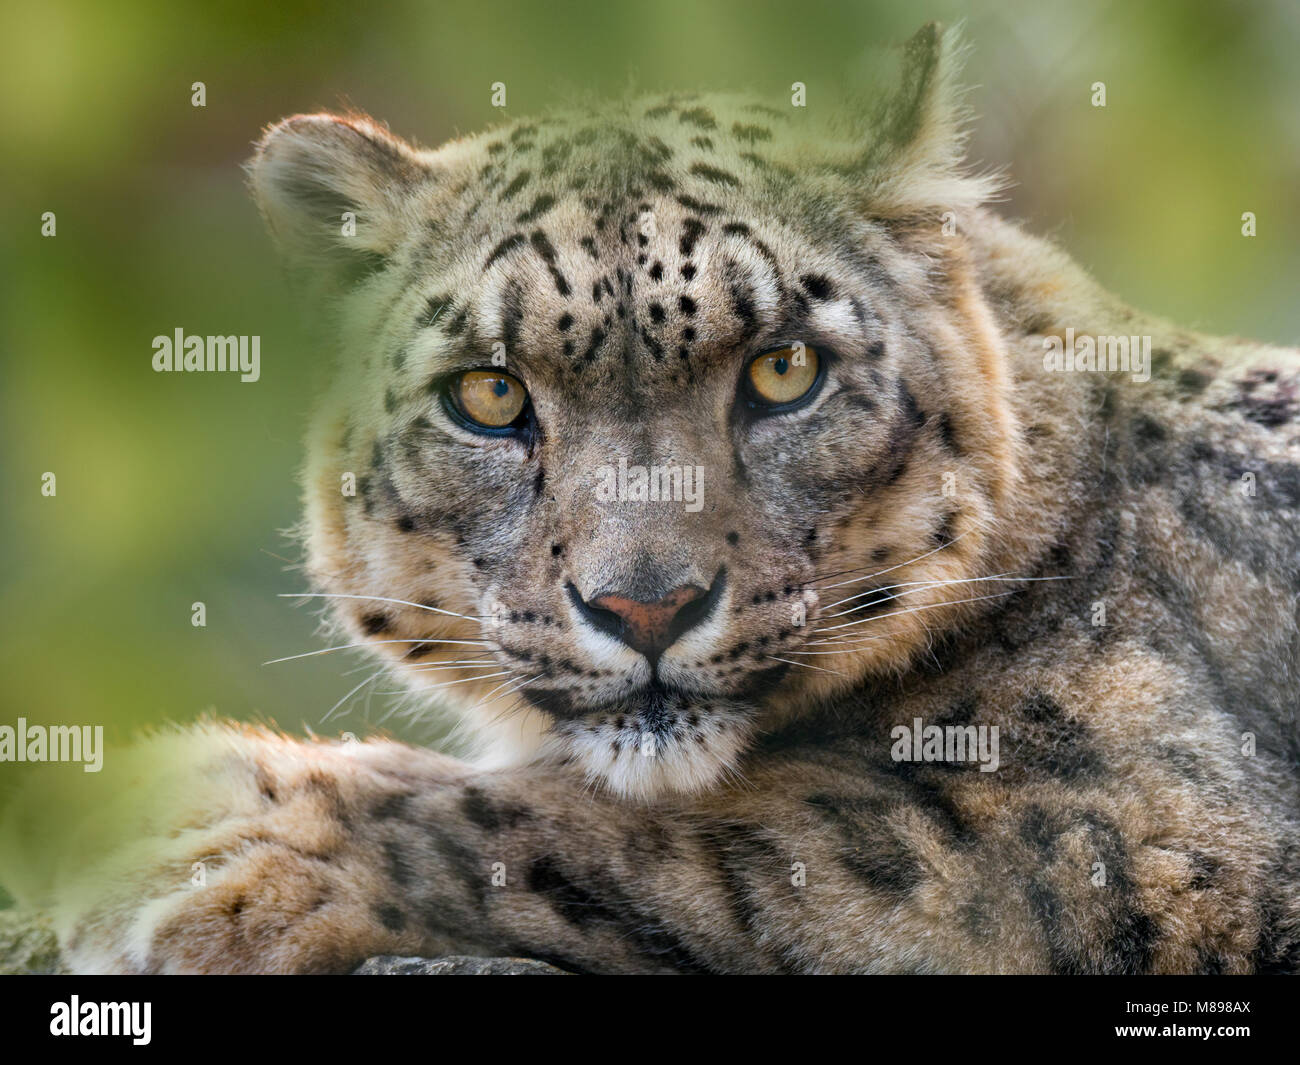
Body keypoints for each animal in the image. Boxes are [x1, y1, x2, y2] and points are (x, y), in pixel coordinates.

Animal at [3, 23, 1298, 974]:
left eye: (783, 368)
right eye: (489, 393)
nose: (647, 609)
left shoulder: (1114, 834)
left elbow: (680, 829)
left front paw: (218, 837)